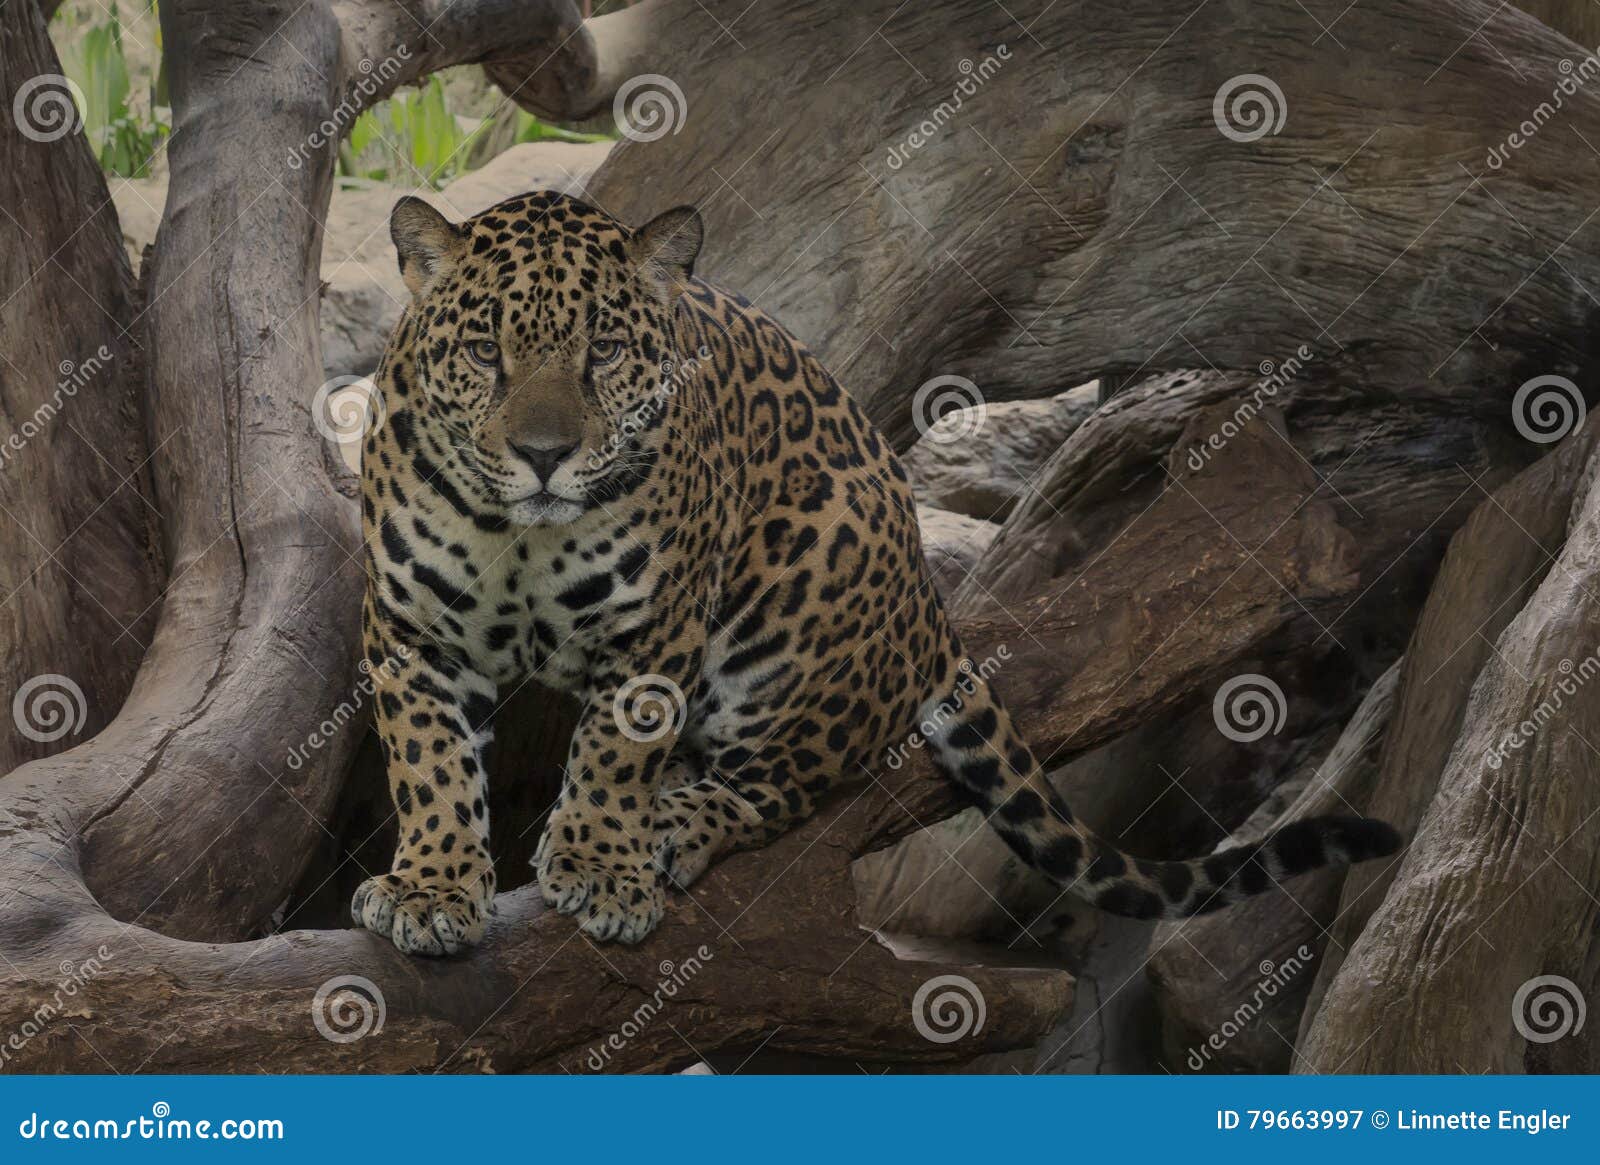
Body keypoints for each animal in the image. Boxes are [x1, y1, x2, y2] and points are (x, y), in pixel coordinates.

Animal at [349, 190, 1401, 954]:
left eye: (603, 349)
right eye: (483, 349)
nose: (542, 454)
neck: (521, 535)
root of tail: (933, 613)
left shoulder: (656, 626)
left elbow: (615, 748)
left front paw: (604, 865)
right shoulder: (410, 632)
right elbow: (429, 762)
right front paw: (433, 885)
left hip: (800, 575)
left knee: (783, 781)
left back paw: (672, 820)